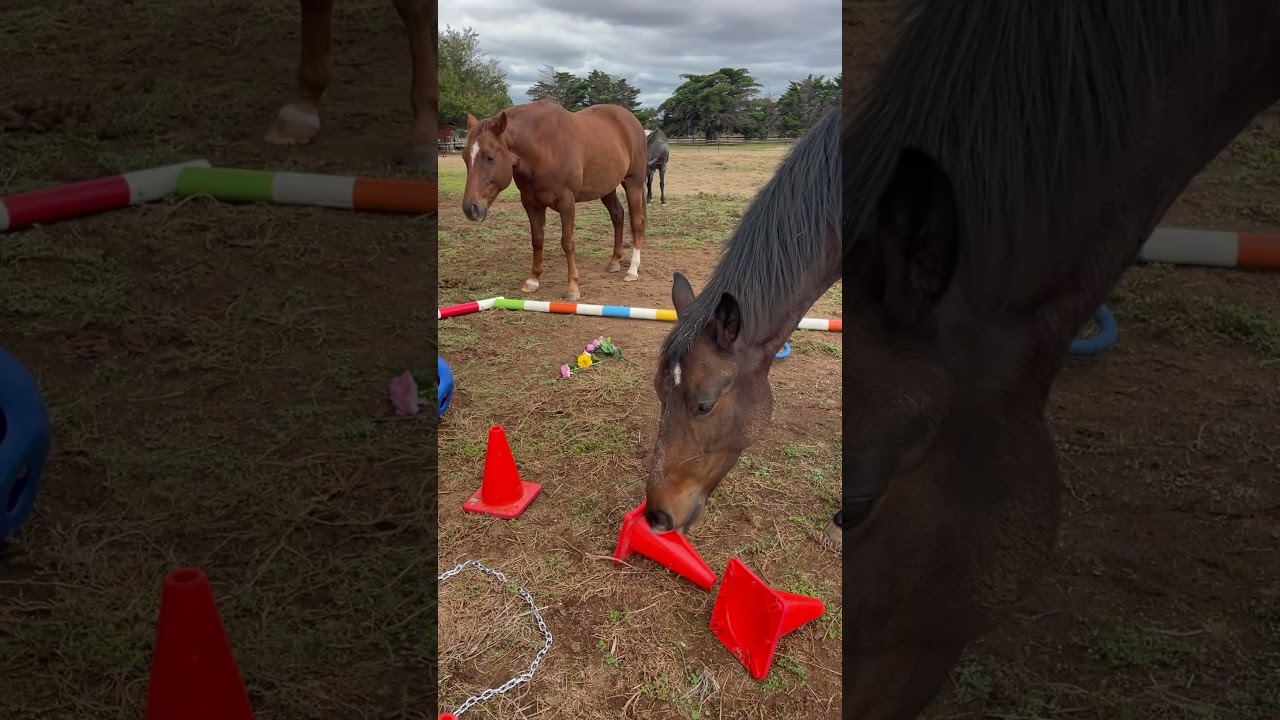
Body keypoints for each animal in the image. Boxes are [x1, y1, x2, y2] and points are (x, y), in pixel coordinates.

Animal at [460, 100, 649, 302]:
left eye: (490, 157)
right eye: (465, 157)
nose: (470, 208)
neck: (544, 149)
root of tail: (633, 121)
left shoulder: (566, 202)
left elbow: (567, 243)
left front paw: (573, 287)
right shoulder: (531, 203)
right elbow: (537, 240)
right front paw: (533, 280)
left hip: (633, 182)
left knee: (636, 223)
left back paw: (632, 270)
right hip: (606, 187)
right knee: (618, 216)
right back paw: (614, 261)